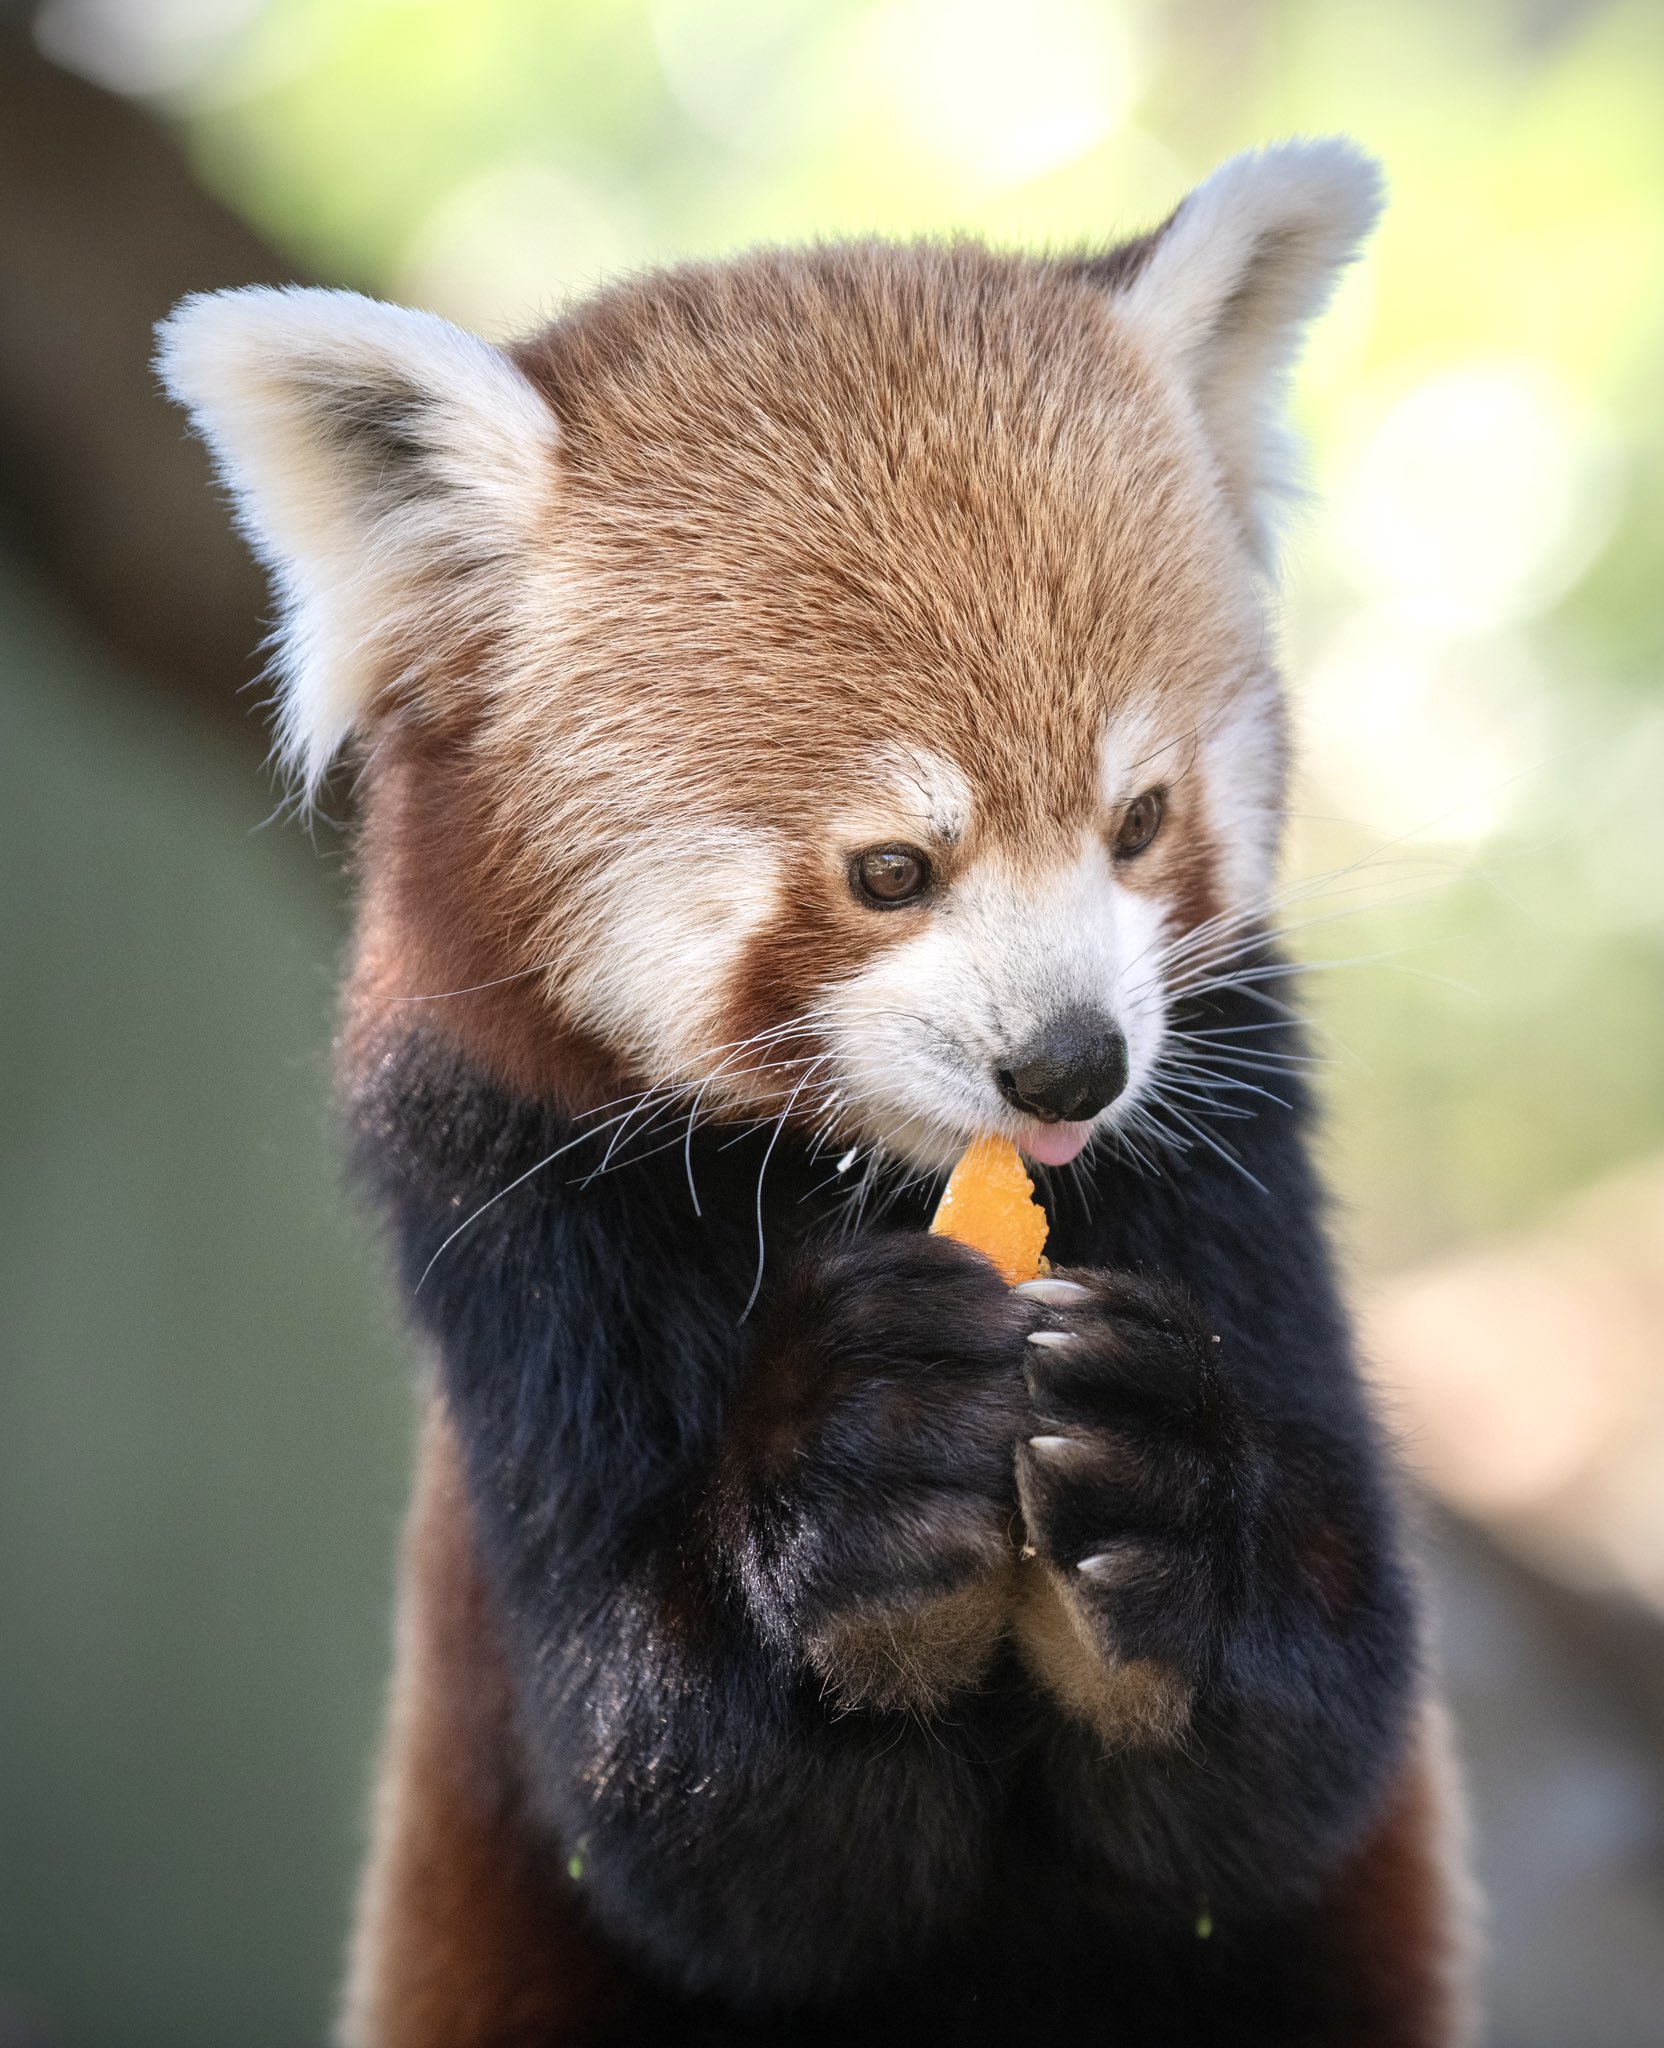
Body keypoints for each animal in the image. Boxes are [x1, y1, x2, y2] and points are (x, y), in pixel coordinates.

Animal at [159, 138, 1476, 2048]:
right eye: (887, 871)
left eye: (1138, 821)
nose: (1070, 1060)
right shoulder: (520, 1210)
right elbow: (706, 1820)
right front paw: (854, 1456)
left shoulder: (1233, 1164)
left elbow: (1287, 1770)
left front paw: (1164, 1486)